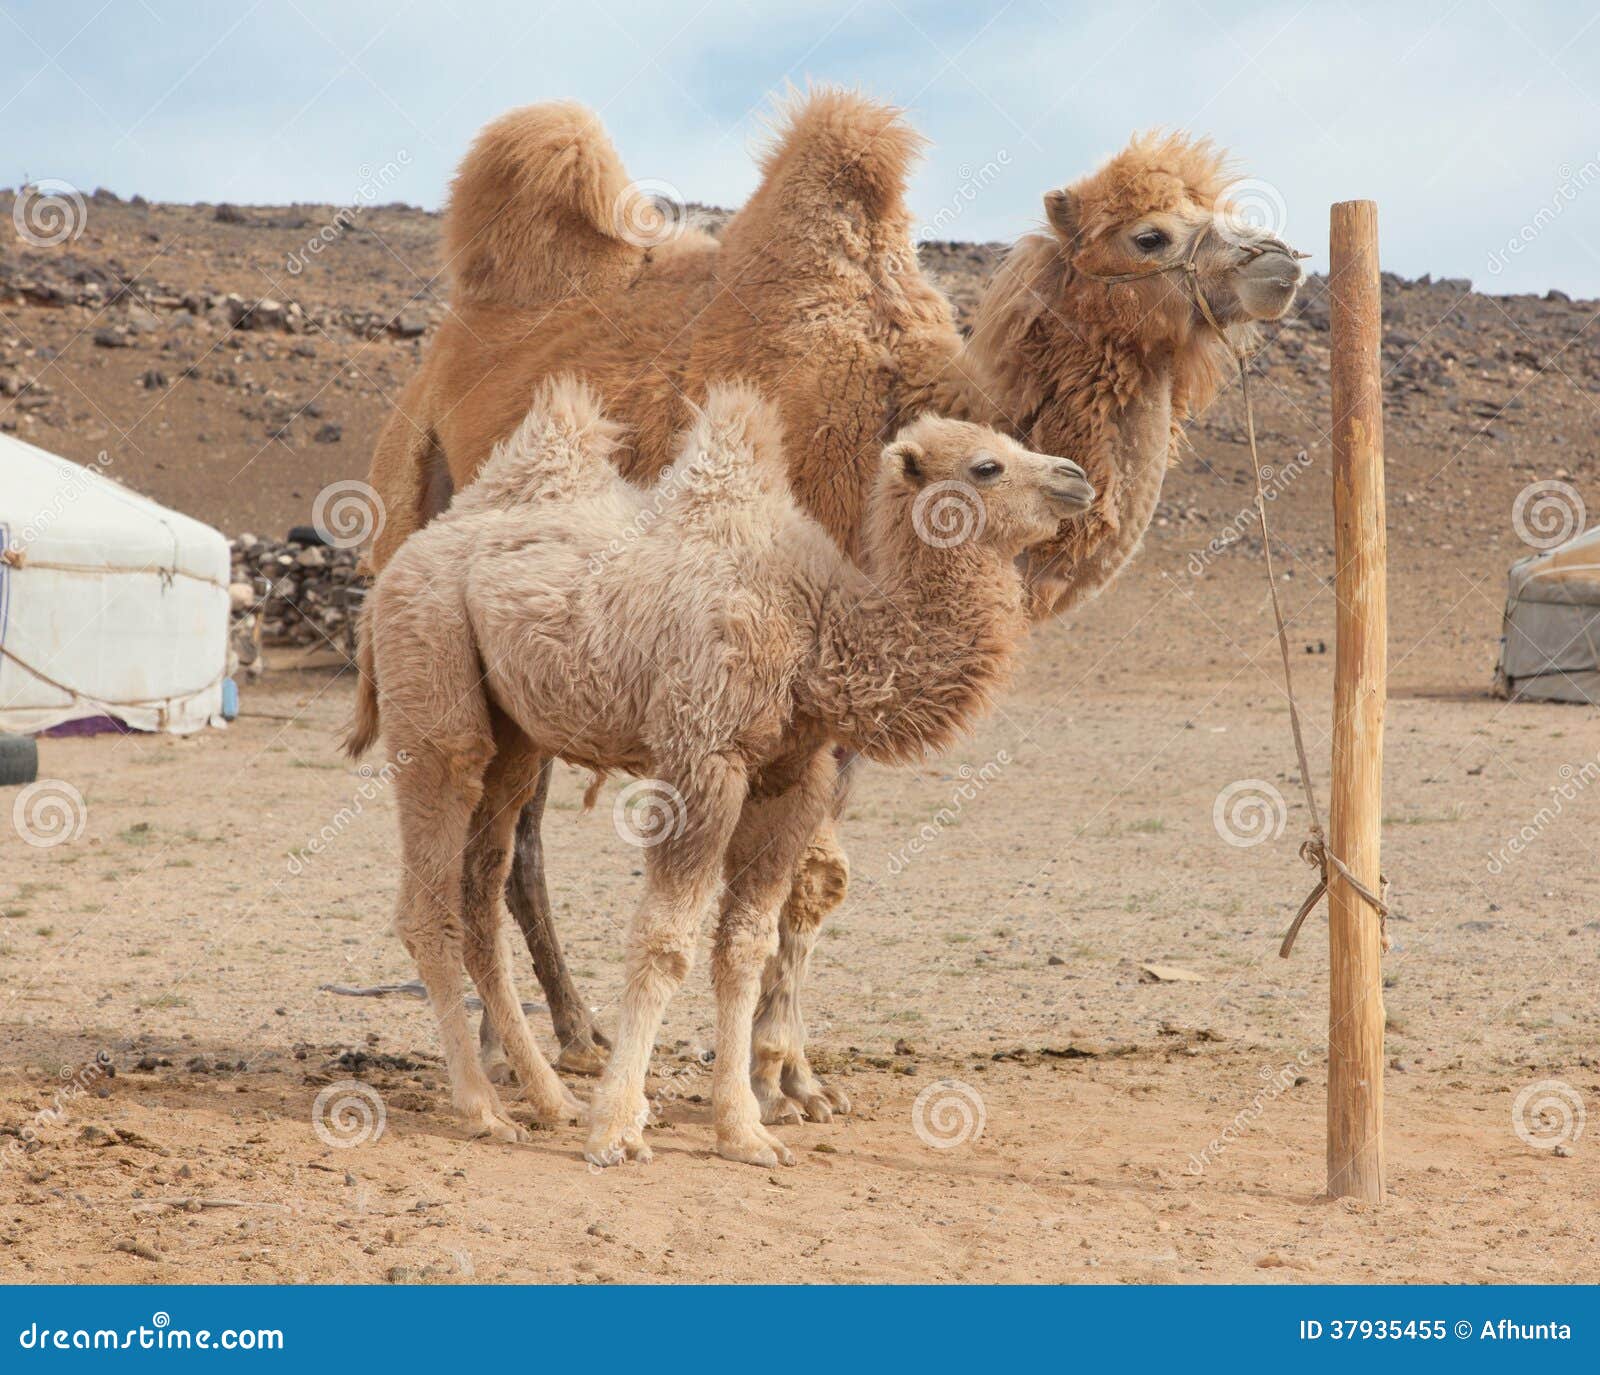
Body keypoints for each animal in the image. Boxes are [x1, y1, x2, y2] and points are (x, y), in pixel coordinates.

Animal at [347, 377, 1093, 1165]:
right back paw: (484, 1109)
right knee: (431, 891)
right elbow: (664, 941)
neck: (817, 627)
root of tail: (399, 561)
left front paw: (744, 1129)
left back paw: (549, 1101)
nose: (1076, 478)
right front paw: (618, 1127)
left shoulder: (793, 773)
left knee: (481, 893)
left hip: (515, 734)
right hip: (431, 674)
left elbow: (745, 945)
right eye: (987, 466)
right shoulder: (700, 758)